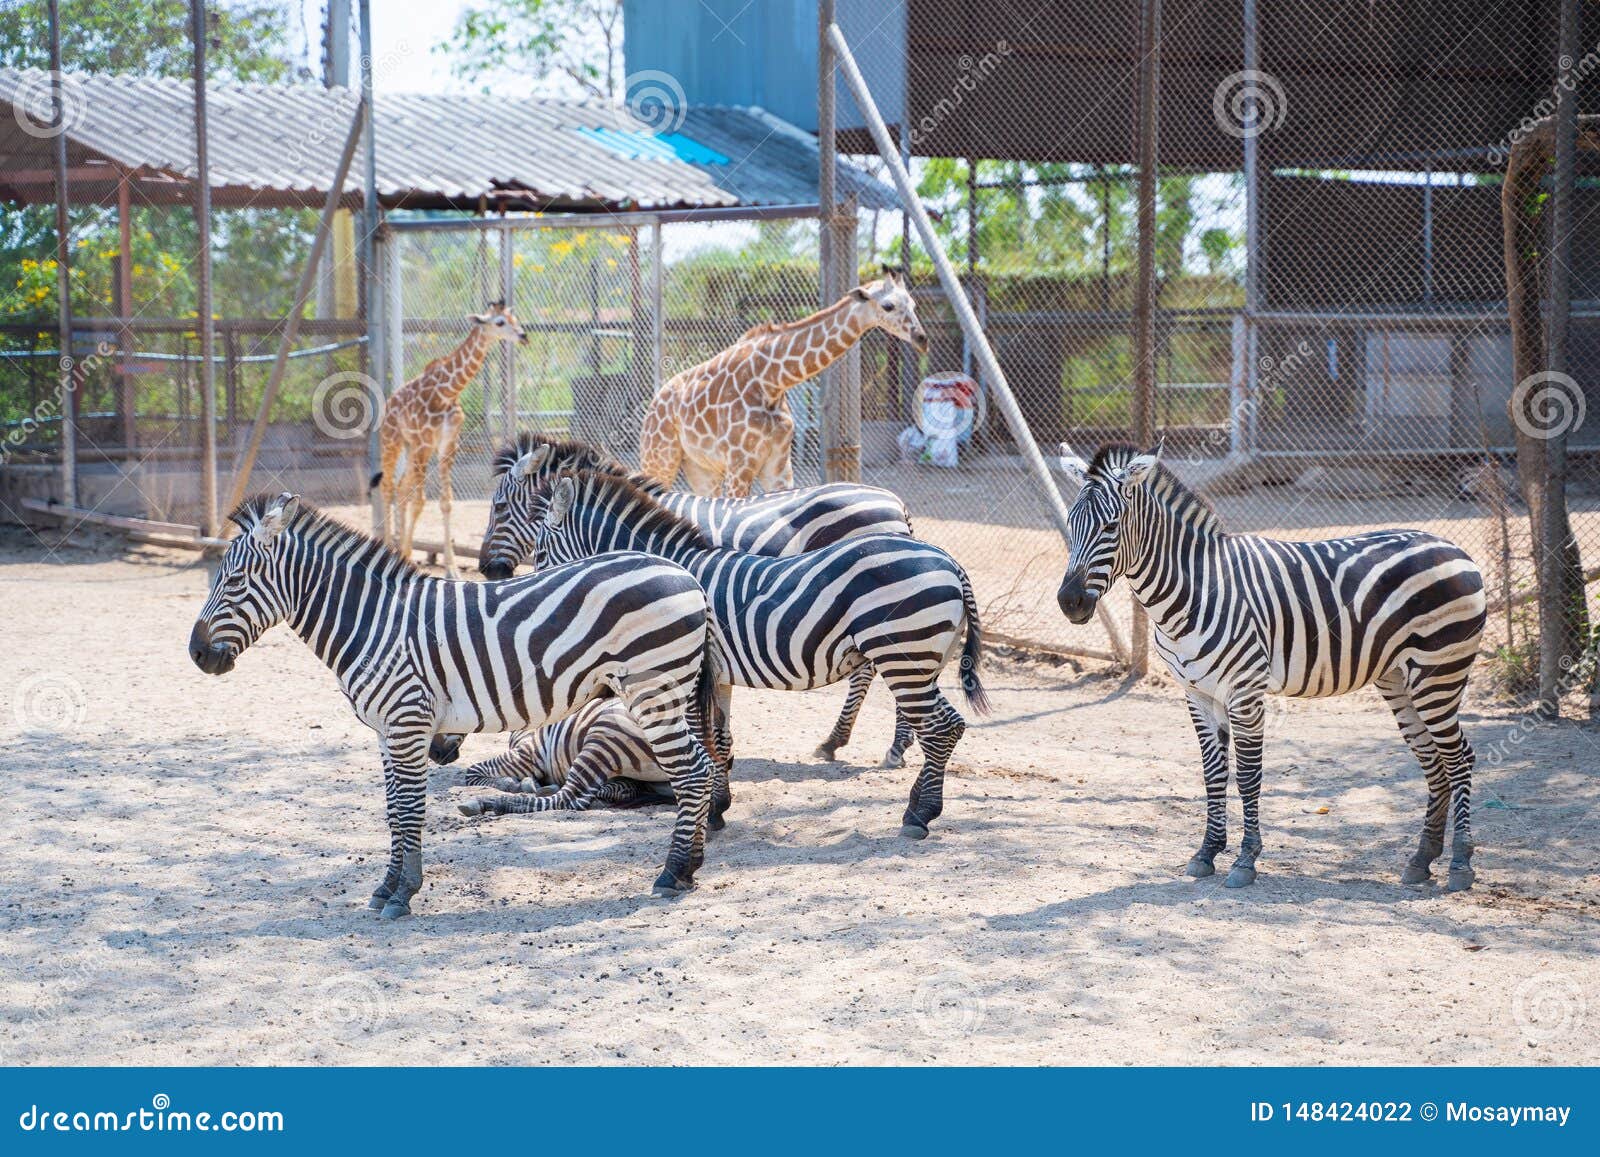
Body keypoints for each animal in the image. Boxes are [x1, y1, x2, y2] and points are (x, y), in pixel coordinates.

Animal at [455, 698, 676, 816]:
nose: (445, 755)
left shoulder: (527, 754)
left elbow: (472, 772)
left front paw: (515, 784)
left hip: (603, 736)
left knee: (567, 800)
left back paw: (492, 802)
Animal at [511, 469, 989, 839]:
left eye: (539, 552)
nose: (537, 600)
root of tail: (948, 561)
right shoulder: (718, 675)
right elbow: (721, 741)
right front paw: (719, 809)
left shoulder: (686, 673)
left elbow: (702, 741)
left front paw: (707, 814)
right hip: (923, 660)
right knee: (941, 725)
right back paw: (916, 800)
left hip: (903, 653)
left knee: (941, 727)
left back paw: (918, 815)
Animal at [1055, 444, 1486, 891]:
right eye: (1070, 524)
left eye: (1111, 526)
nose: (1070, 602)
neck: (1191, 591)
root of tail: (1452, 546)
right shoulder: (1196, 692)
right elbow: (1213, 773)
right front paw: (1207, 852)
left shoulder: (1245, 692)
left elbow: (1247, 774)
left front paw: (1246, 859)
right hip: (1399, 678)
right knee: (1432, 759)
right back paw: (1422, 859)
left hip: (1439, 673)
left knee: (1460, 758)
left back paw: (1460, 863)